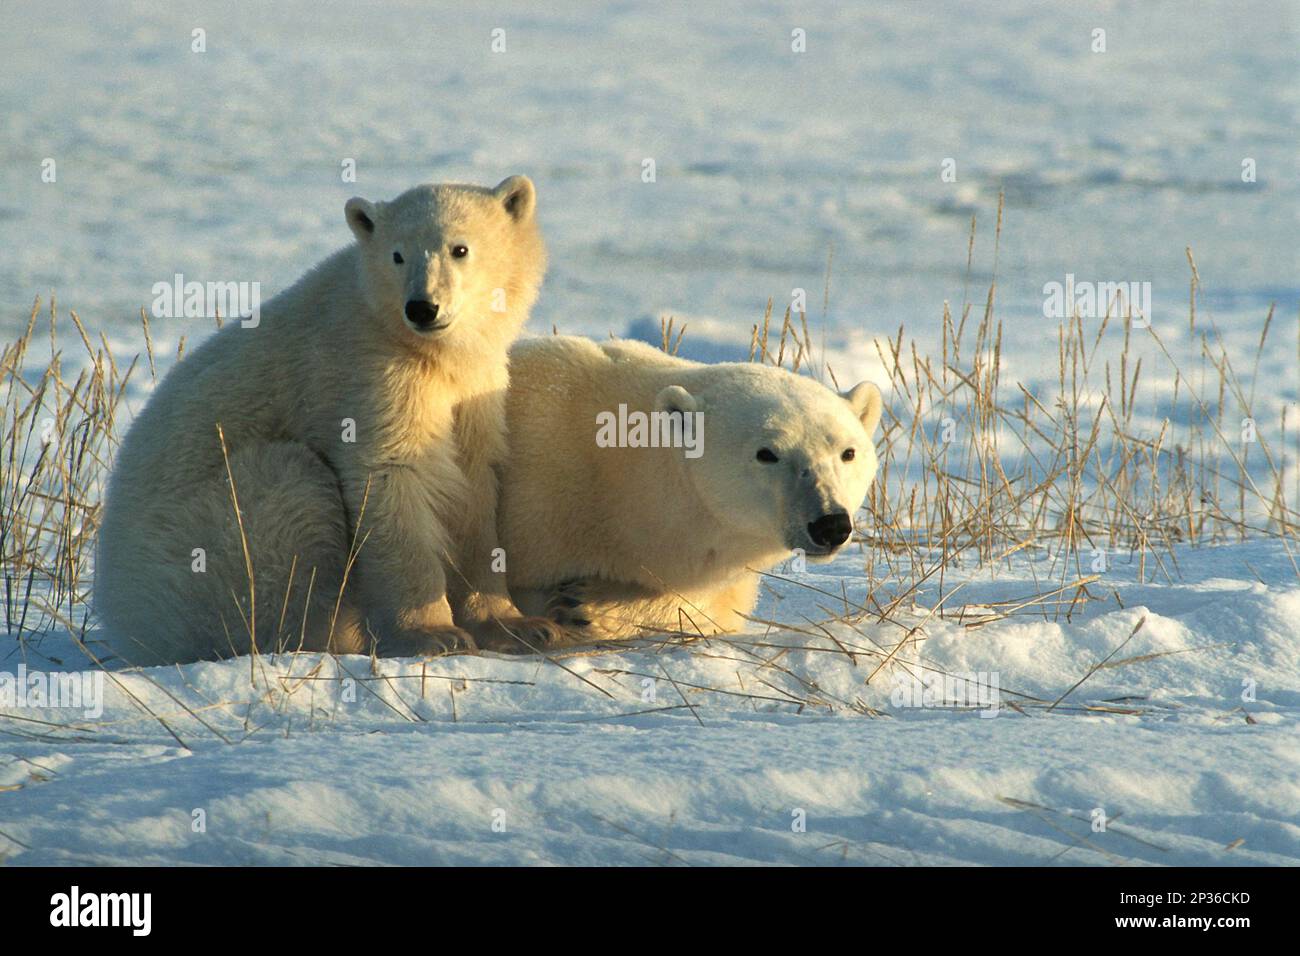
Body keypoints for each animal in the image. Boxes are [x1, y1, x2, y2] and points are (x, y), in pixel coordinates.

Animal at [95, 176, 568, 665]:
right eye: (397, 255)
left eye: (459, 248)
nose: (422, 308)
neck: (423, 348)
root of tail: (120, 616)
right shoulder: (369, 374)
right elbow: (390, 474)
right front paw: (432, 634)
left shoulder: (473, 390)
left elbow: (473, 488)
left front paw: (520, 625)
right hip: (203, 546)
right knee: (291, 484)